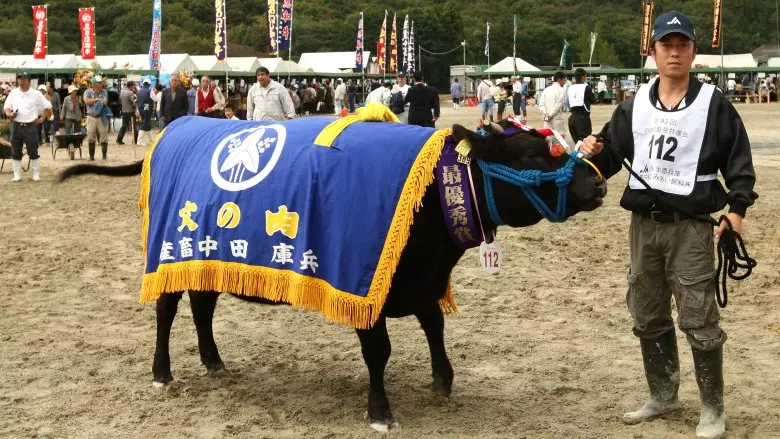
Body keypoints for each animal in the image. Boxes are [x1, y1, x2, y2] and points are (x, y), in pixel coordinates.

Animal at [61, 121, 608, 434]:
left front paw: (443, 381)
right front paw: (380, 411)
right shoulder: (365, 284)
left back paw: (215, 362)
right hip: (169, 252)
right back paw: (162, 373)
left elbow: (434, 327)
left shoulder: (421, 281)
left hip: (206, 256)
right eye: (533, 156)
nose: (598, 182)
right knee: (167, 309)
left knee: (202, 307)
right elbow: (379, 351)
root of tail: (175, 129)